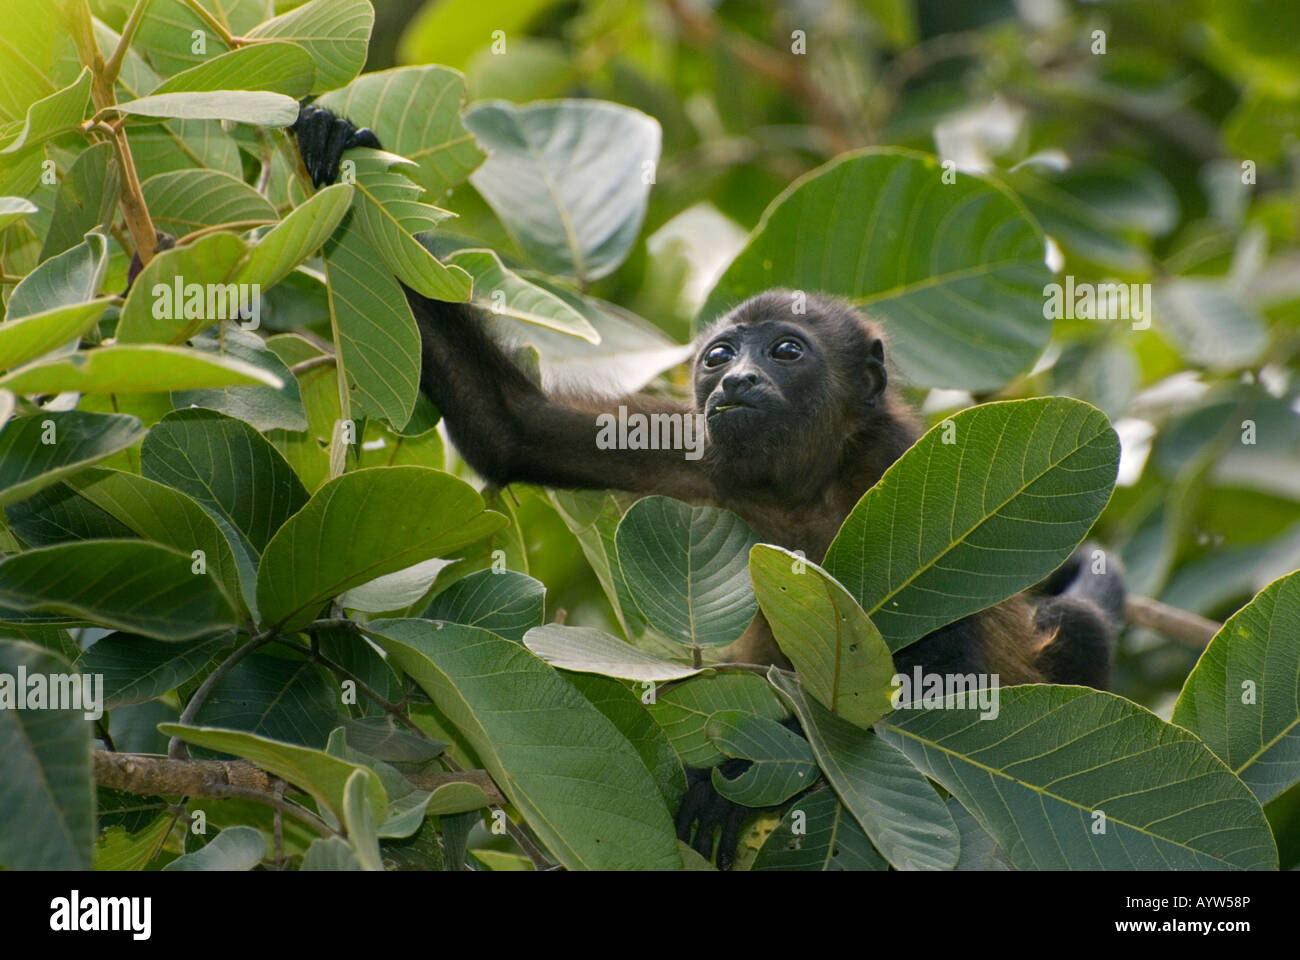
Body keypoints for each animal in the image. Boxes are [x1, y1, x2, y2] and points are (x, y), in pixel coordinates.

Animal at [291, 105, 1124, 866]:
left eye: (786, 351)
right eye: (720, 355)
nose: (739, 379)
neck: (800, 488)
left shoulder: (900, 463)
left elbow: (942, 669)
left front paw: (736, 770)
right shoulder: (690, 448)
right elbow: (512, 427)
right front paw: (332, 148)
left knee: (1076, 627)